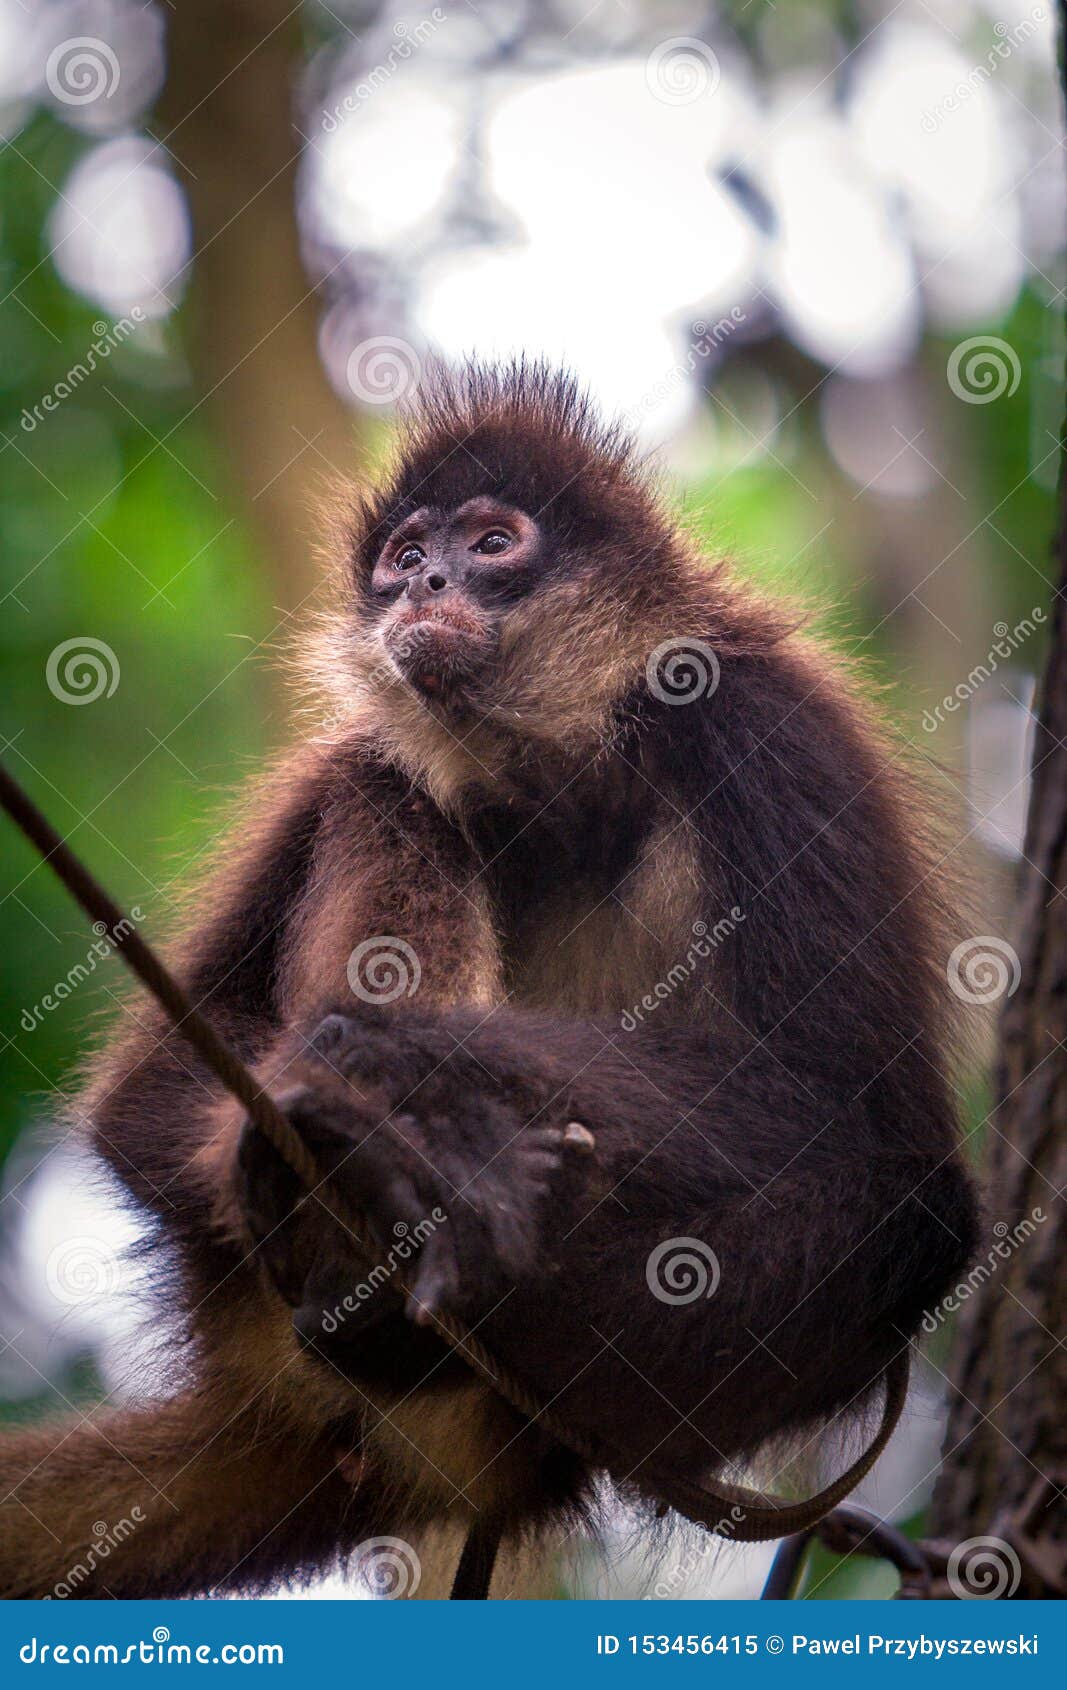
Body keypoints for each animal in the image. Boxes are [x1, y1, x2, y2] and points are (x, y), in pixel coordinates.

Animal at [0, 363, 979, 1599]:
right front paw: (369, 1101)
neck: (564, 779)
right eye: (406, 552)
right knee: (394, 792)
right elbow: (139, 1099)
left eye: (492, 543)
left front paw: (393, 1067)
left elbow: (856, 1126)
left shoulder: (769, 724)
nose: (423, 581)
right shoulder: (354, 742)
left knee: (907, 1219)